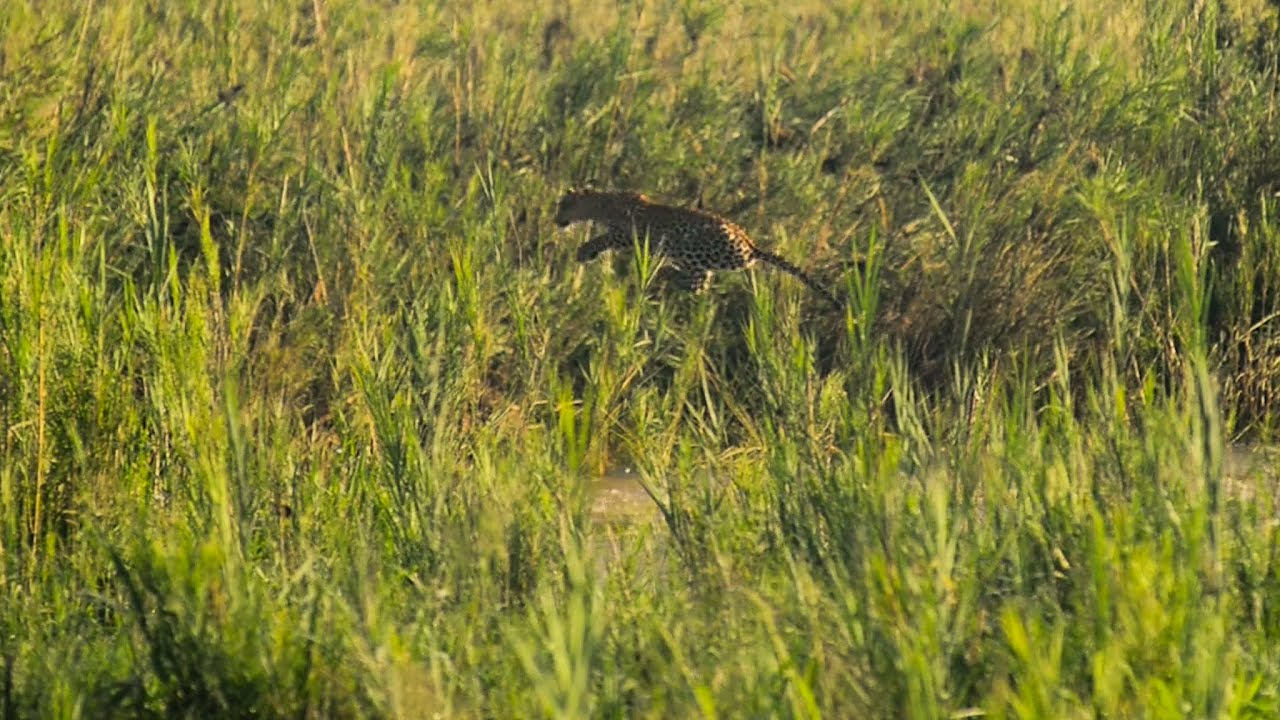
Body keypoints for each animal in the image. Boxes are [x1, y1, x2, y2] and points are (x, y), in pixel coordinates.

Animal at [553, 189, 841, 309]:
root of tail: (752, 246)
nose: (555, 221)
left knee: (699, 283)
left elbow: (602, 239)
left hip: (691, 248)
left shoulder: (625, 234)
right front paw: (587, 254)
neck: (602, 202)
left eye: (563, 205)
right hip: (695, 258)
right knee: (701, 283)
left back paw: (665, 275)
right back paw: (667, 274)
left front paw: (584, 252)